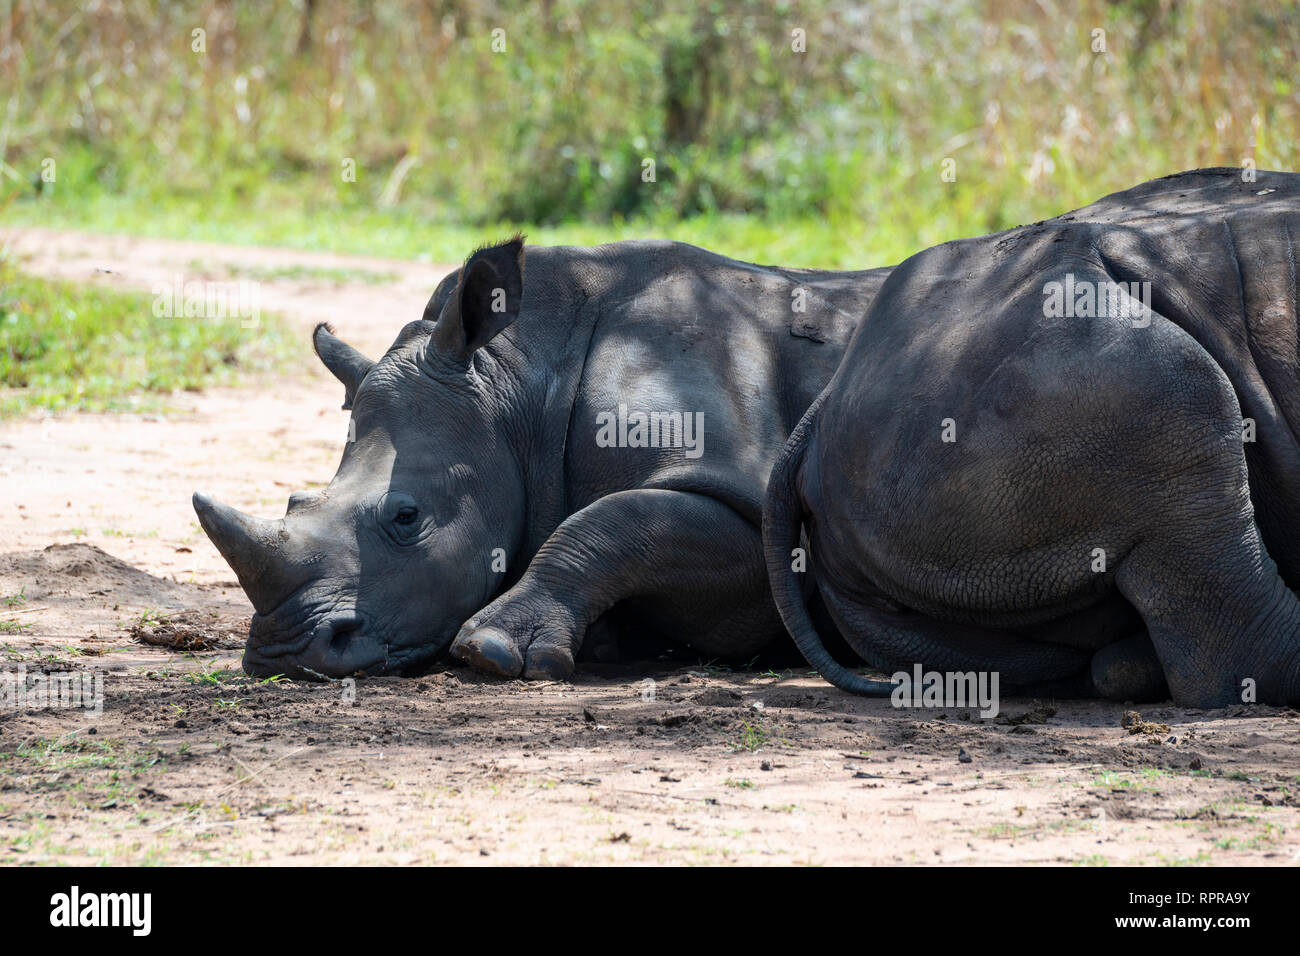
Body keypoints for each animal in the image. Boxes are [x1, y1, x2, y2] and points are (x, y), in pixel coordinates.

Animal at [193, 238, 891, 680]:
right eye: (294, 501)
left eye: (406, 518)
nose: (288, 653)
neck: (521, 388)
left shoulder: (754, 505)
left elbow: (615, 522)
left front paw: (493, 649)